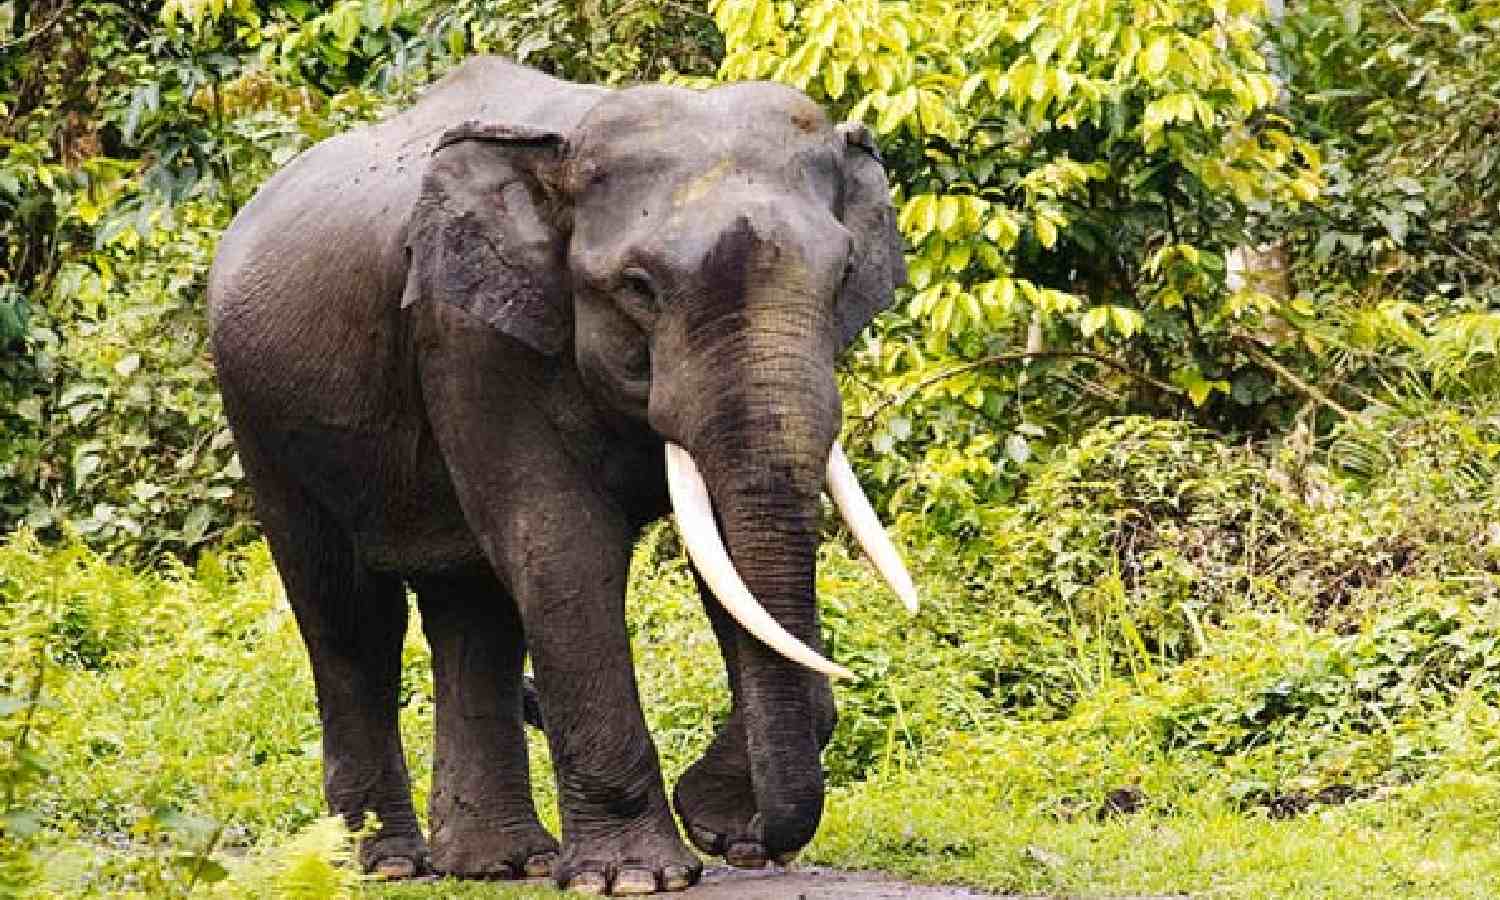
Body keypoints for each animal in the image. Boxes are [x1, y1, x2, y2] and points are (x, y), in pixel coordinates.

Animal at [208, 56, 917, 895]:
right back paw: (386, 864)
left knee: (472, 610)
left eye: (843, 277)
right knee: (352, 619)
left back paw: (500, 863)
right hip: (262, 419)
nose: (748, 841)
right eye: (639, 287)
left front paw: (714, 824)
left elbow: (720, 566)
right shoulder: (469, 333)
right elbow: (562, 545)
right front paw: (634, 878)